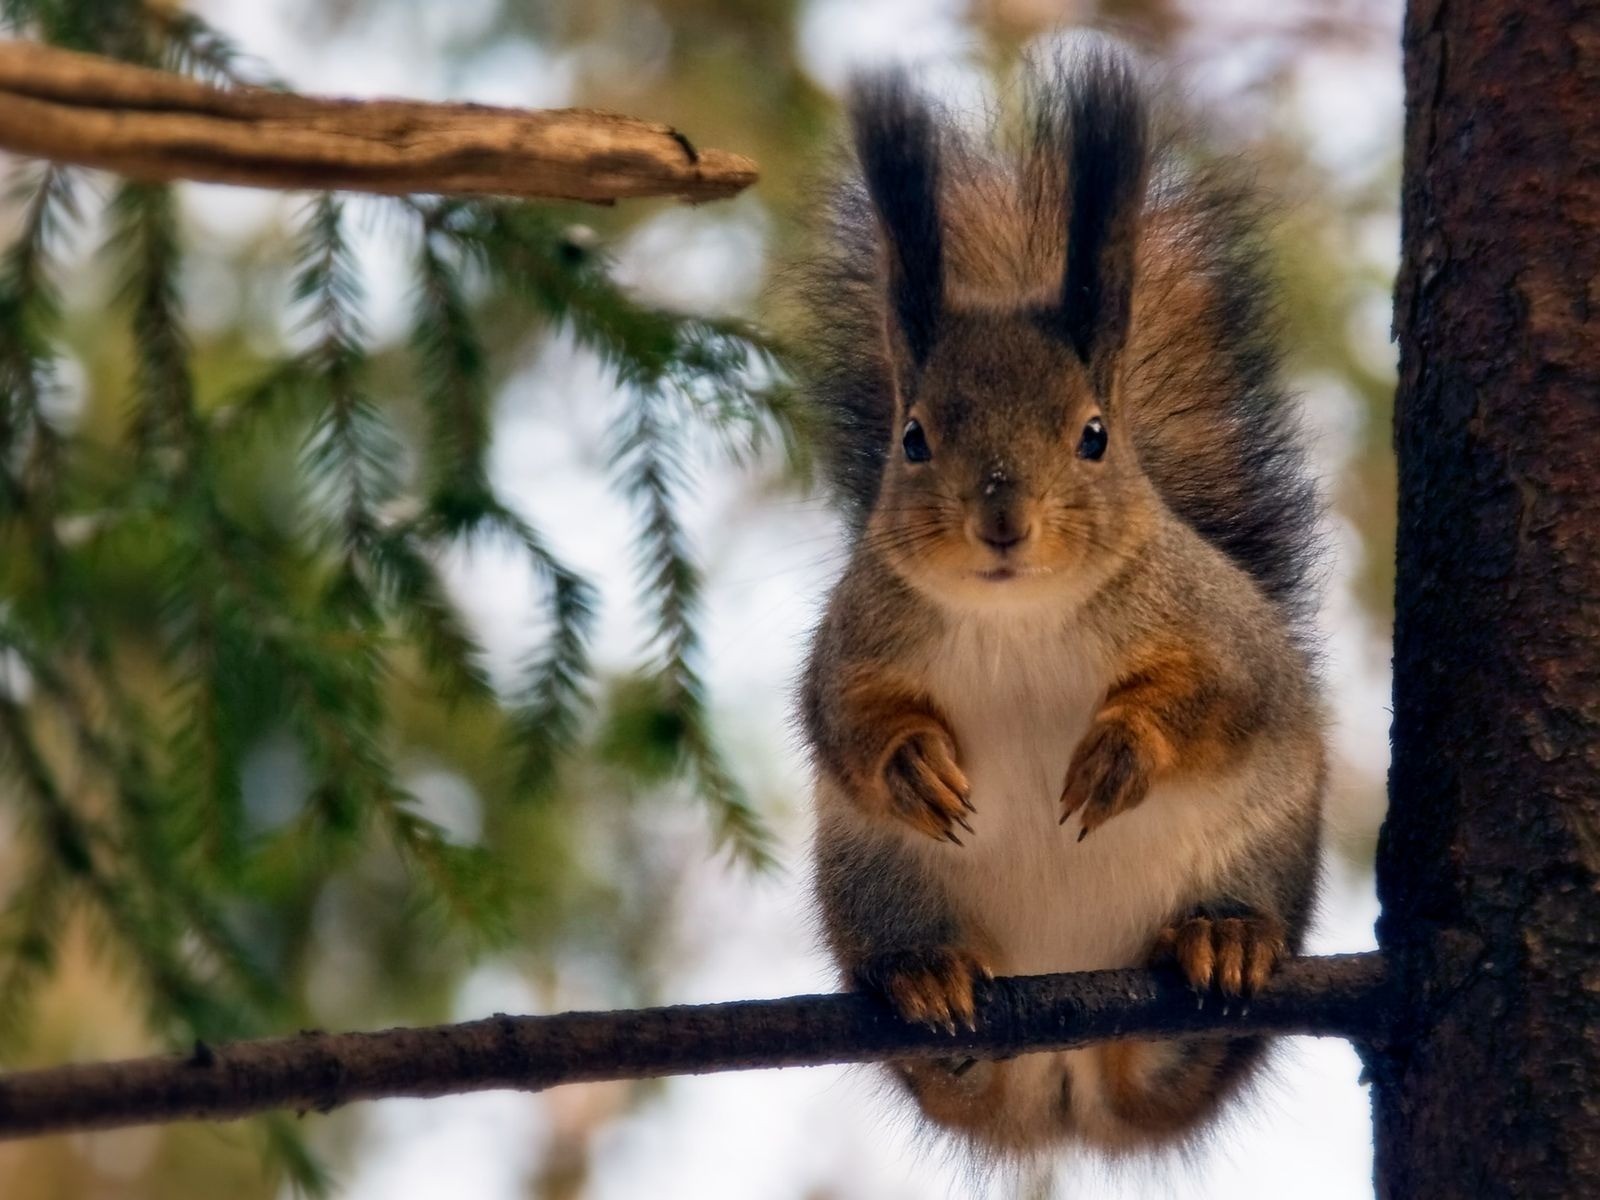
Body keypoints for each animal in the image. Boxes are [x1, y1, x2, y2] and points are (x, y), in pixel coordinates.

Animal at [795, 44, 1327, 1157]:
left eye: (1093, 435)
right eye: (913, 437)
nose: (1003, 520)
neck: (1019, 620)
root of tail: (1069, 1076)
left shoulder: (1217, 626)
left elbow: (1219, 698)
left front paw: (1123, 751)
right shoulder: (857, 635)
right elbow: (842, 721)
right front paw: (912, 765)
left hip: (1261, 850)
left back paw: (1222, 942)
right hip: (874, 883)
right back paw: (929, 980)